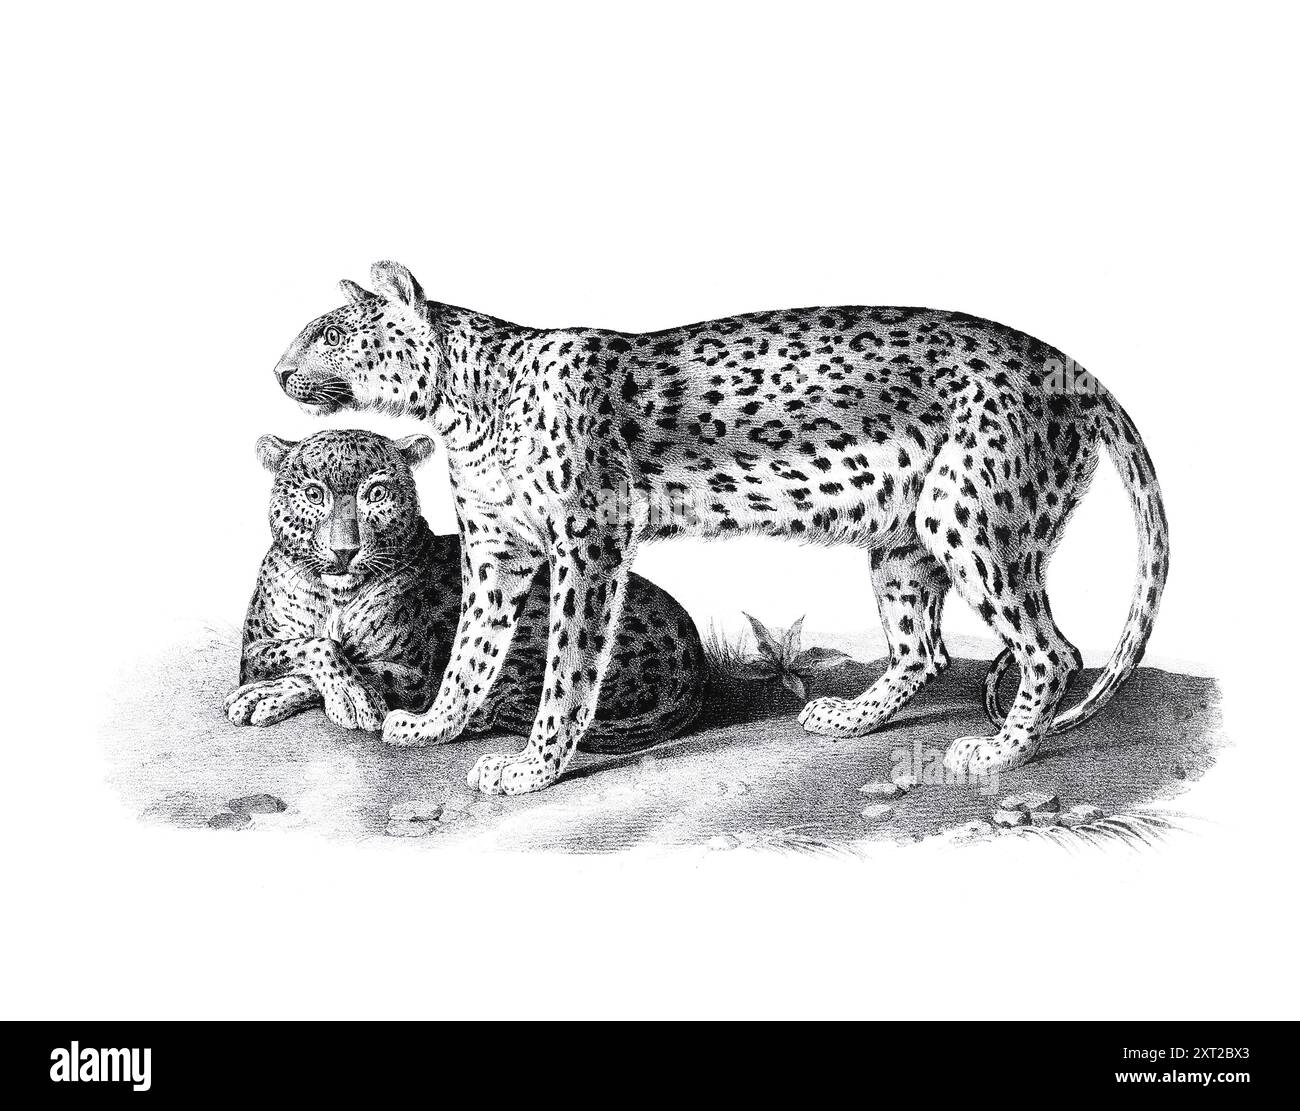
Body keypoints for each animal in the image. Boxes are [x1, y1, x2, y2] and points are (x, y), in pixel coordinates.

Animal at [223, 428, 706, 754]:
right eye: (313, 493)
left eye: (375, 494)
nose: (345, 550)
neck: (337, 597)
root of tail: (696, 663)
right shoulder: (256, 648)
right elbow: (311, 647)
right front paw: (272, 694)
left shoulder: (413, 675)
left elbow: (343, 664)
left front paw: (342, 702)